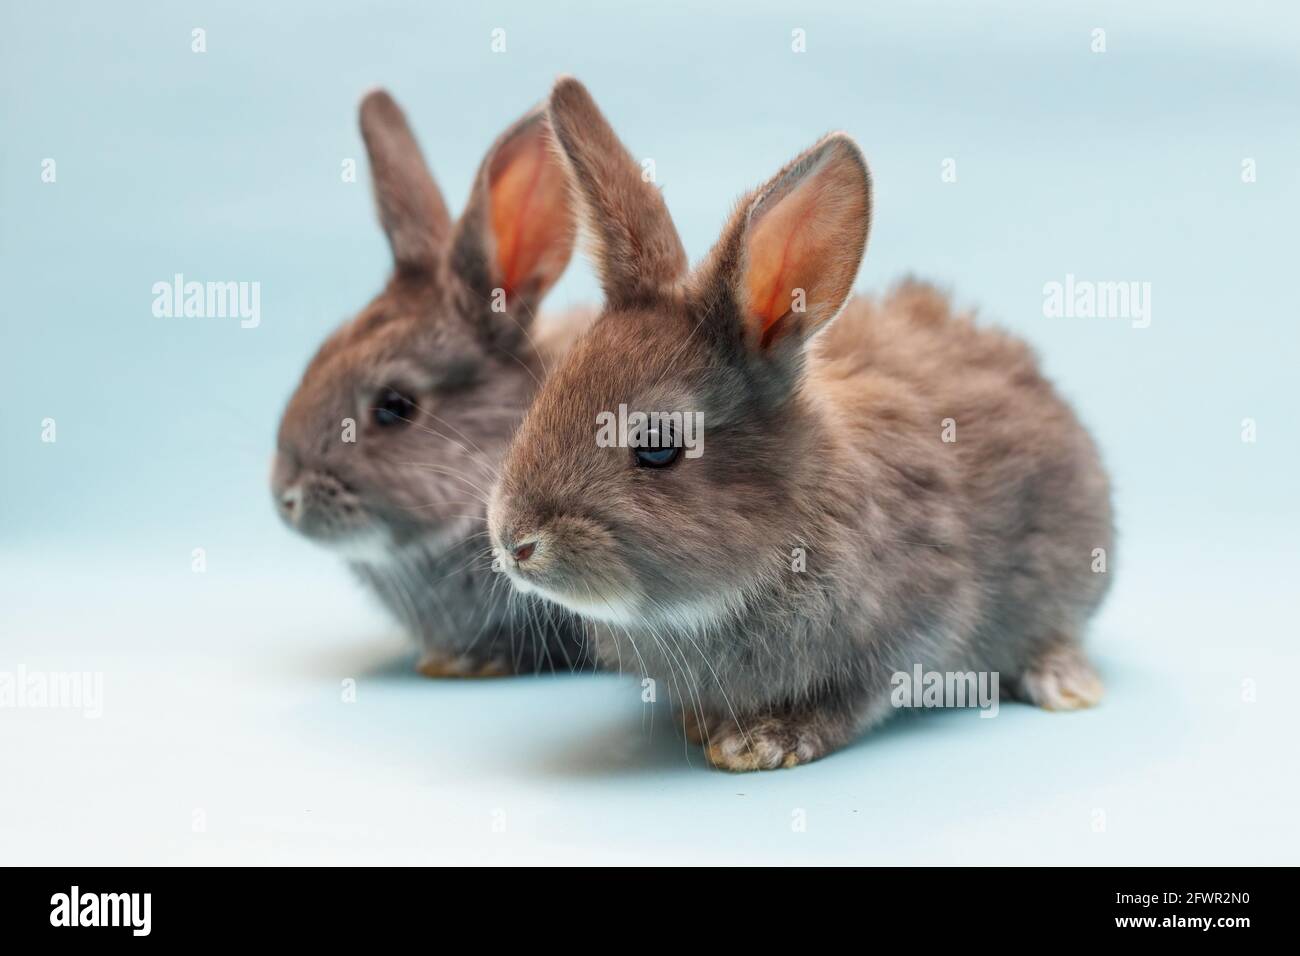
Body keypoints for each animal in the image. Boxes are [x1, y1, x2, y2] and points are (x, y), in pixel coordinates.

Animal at [486, 77, 1114, 769]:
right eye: (548, 390)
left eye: (656, 444)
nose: (514, 544)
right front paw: (704, 725)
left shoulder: (912, 628)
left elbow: (858, 698)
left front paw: (762, 741)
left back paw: (1065, 683)